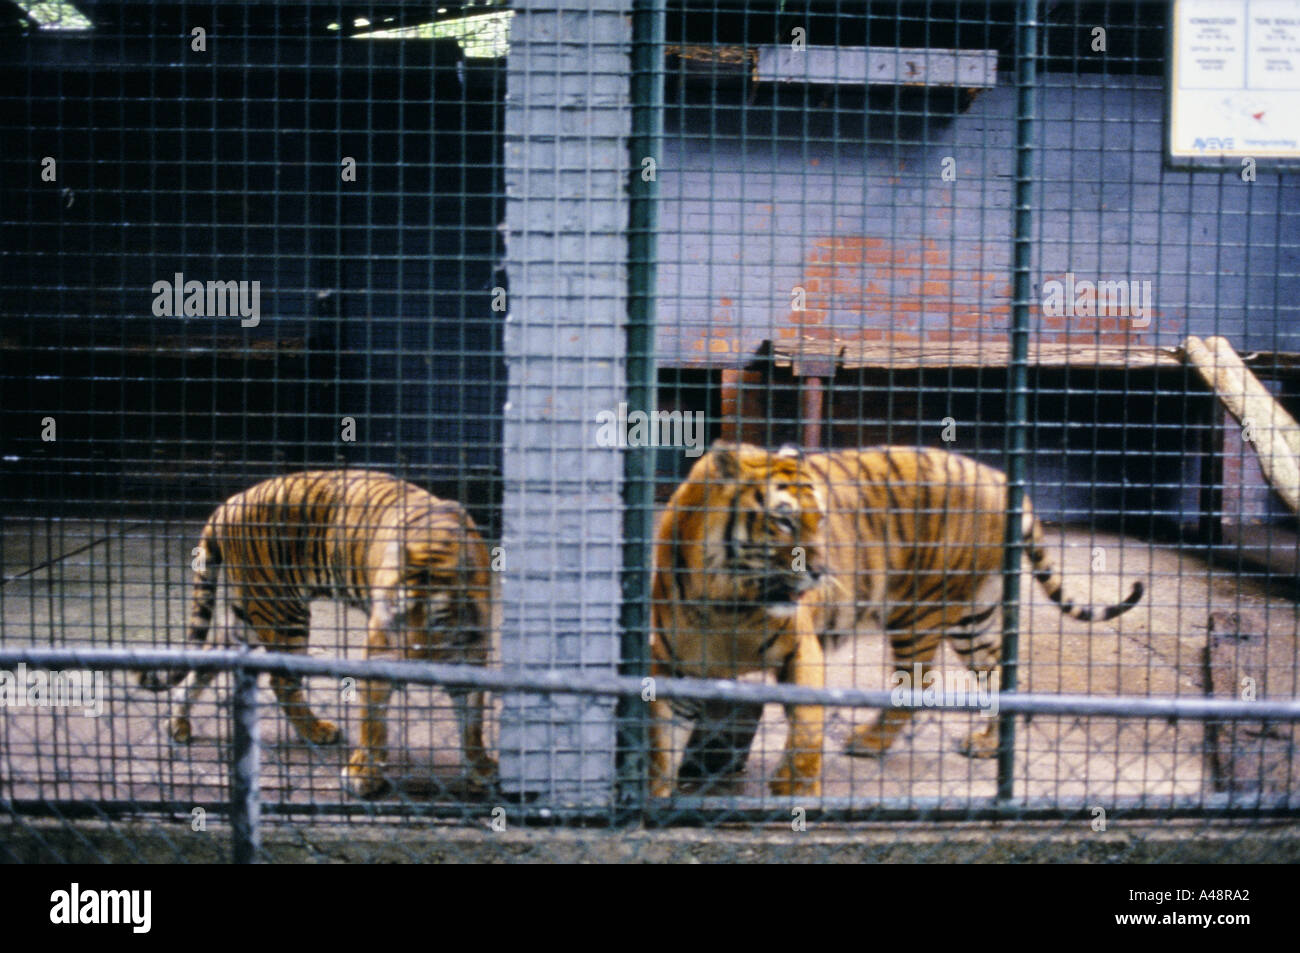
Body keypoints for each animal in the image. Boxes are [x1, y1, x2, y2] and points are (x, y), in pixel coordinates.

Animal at [137, 470, 497, 799]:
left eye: (434, 619)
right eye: (394, 613)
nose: (404, 662)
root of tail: (229, 503)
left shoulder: (471, 663)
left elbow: (473, 721)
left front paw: (480, 766)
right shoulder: (377, 653)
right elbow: (373, 723)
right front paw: (363, 774)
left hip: (247, 617)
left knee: (207, 661)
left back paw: (177, 723)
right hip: (282, 612)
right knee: (281, 681)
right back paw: (316, 730)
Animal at [649, 440, 1145, 797]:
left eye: (822, 520)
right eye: (784, 522)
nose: (822, 571)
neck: (726, 598)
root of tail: (1001, 478)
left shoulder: (801, 648)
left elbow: (806, 729)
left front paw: (795, 788)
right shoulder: (673, 669)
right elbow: (660, 745)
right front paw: (655, 801)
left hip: (919, 610)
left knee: (919, 683)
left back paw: (868, 743)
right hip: (973, 616)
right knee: (1001, 672)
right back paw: (989, 743)